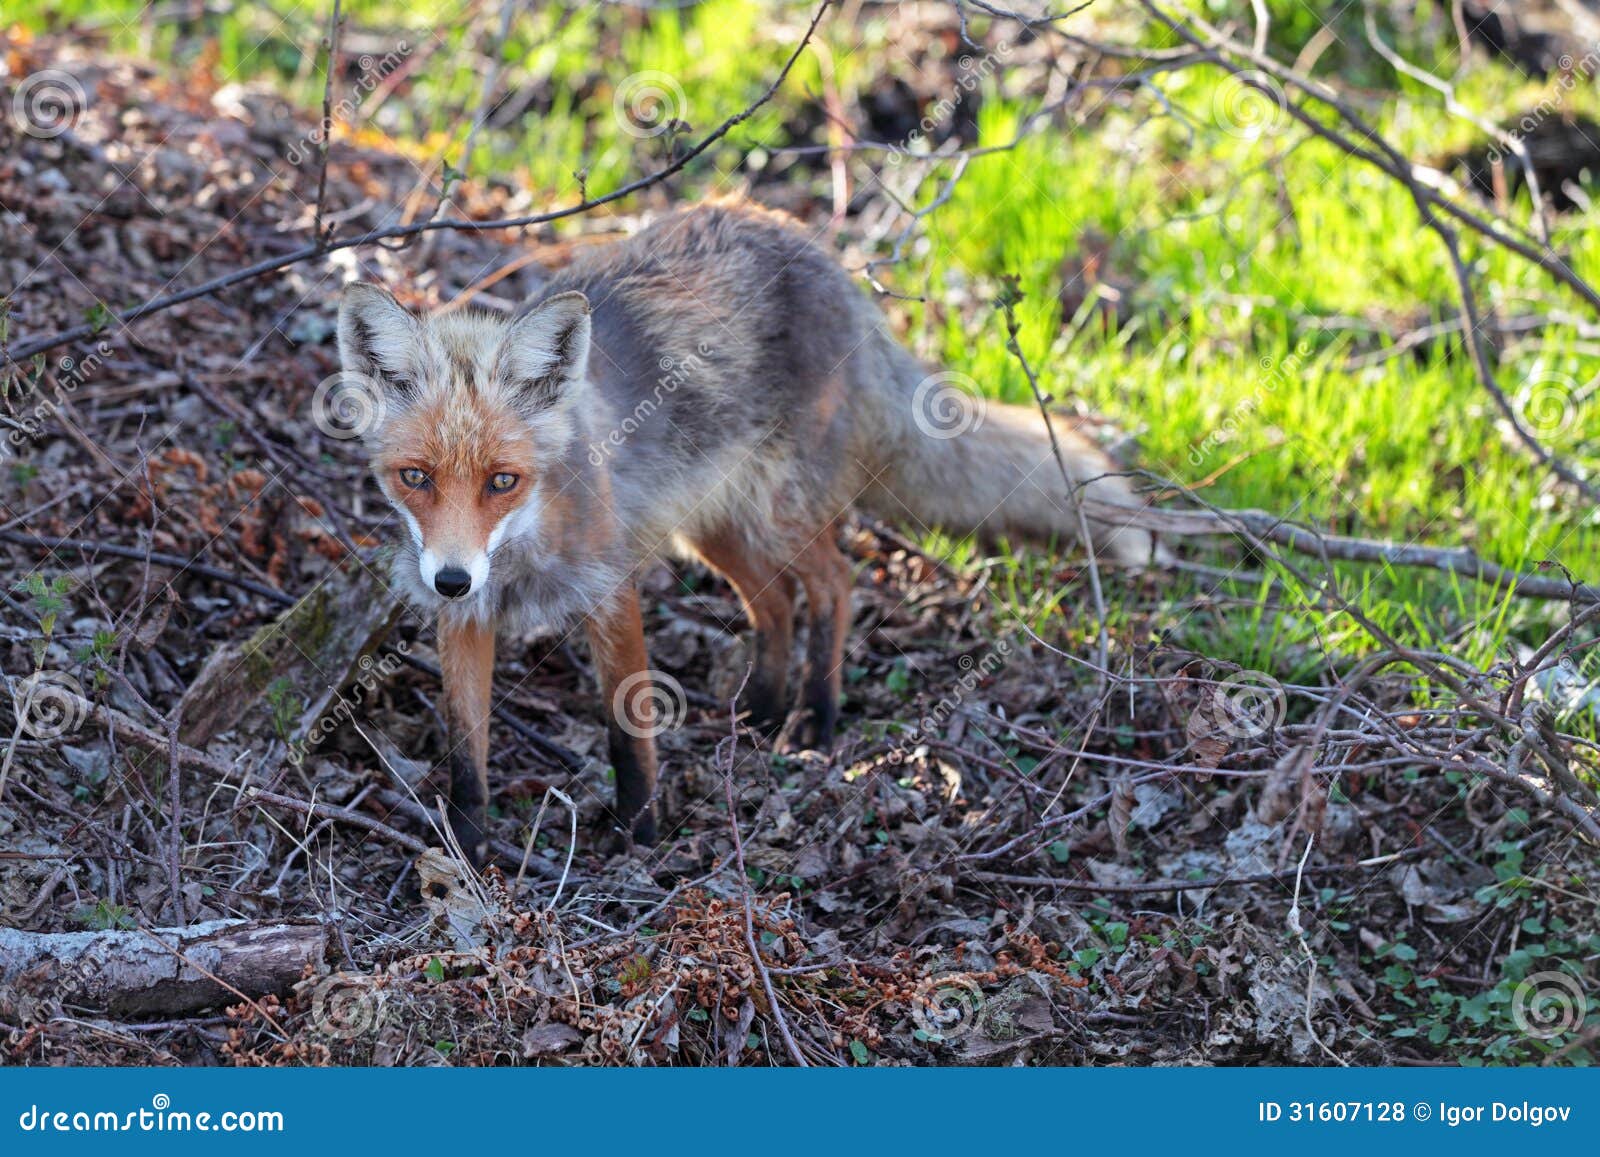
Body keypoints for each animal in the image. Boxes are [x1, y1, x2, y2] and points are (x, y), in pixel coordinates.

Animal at [338, 200, 1159, 865]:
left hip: (778, 514)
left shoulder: (610, 590)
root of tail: (825, 257)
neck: (522, 551)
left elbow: (629, 732)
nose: (451, 576)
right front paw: (467, 849)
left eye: (502, 481)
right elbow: (465, 754)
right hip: (716, 529)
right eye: (416, 477)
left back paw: (815, 718)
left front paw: (640, 836)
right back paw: (763, 707)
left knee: (834, 583)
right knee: (775, 602)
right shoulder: (465, 621)